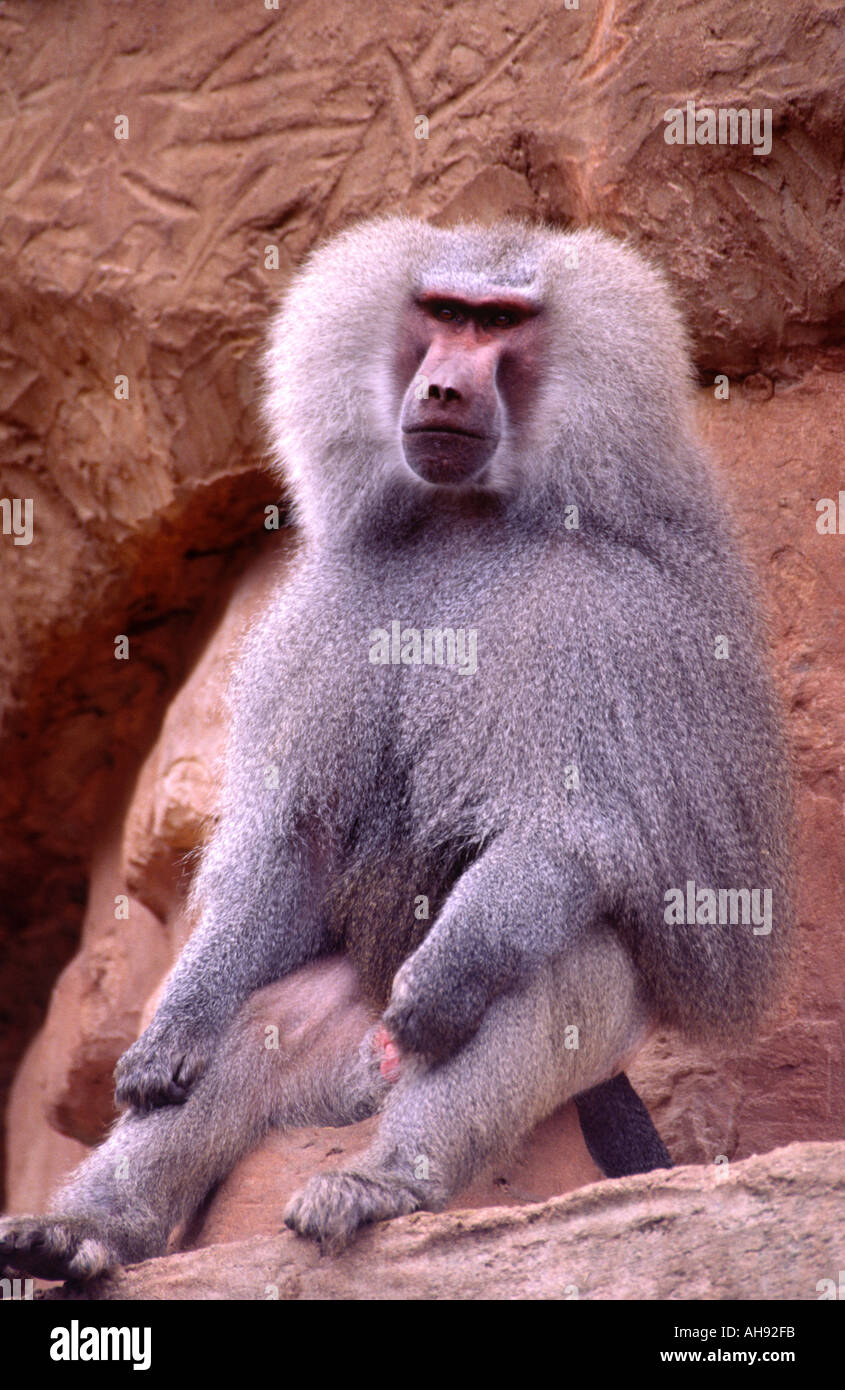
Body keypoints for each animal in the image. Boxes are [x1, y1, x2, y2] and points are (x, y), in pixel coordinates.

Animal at [0, 217, 789, 1279]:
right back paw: (79, 1233)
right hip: (337, 1030)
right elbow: (293, 843)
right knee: (256, 1030)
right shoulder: (332, 611)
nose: (445, 390)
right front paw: (166, 1036)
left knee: (535, 972)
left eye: (499, 325)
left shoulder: (604, 616)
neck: (466, 523)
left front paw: (438, 992)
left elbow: (564, 834)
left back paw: (386, 1180)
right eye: (443, 313)